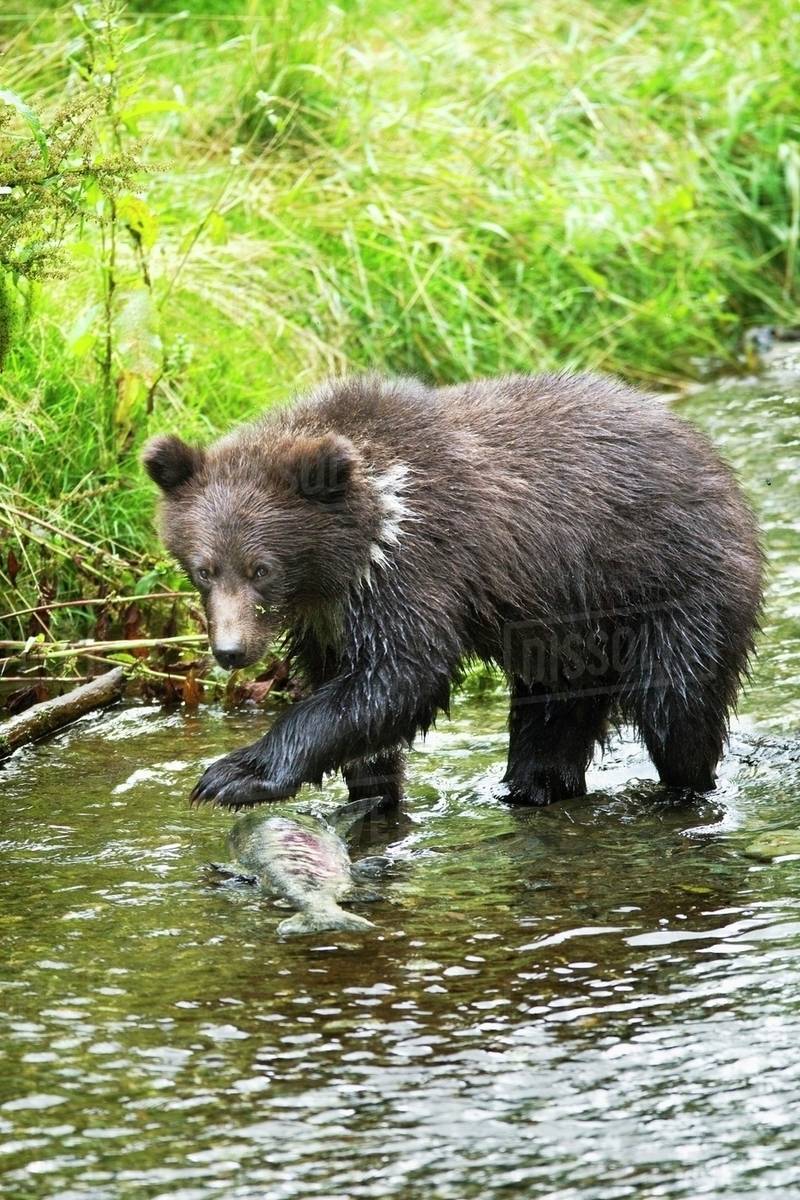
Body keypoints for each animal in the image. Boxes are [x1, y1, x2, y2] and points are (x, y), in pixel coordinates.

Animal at [142, 372, 763, 810]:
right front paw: (372, 784)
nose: (231, 650)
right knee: (551, 717)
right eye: (203, 569)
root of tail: (712, 456)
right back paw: (534, 786)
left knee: (677, 704)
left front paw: (234, 775)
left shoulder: (420, 563)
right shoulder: (327, 617)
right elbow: (353, 692)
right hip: (567, 632)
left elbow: (402, 674)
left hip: (669, 581)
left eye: (261, 568)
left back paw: (683, 787)